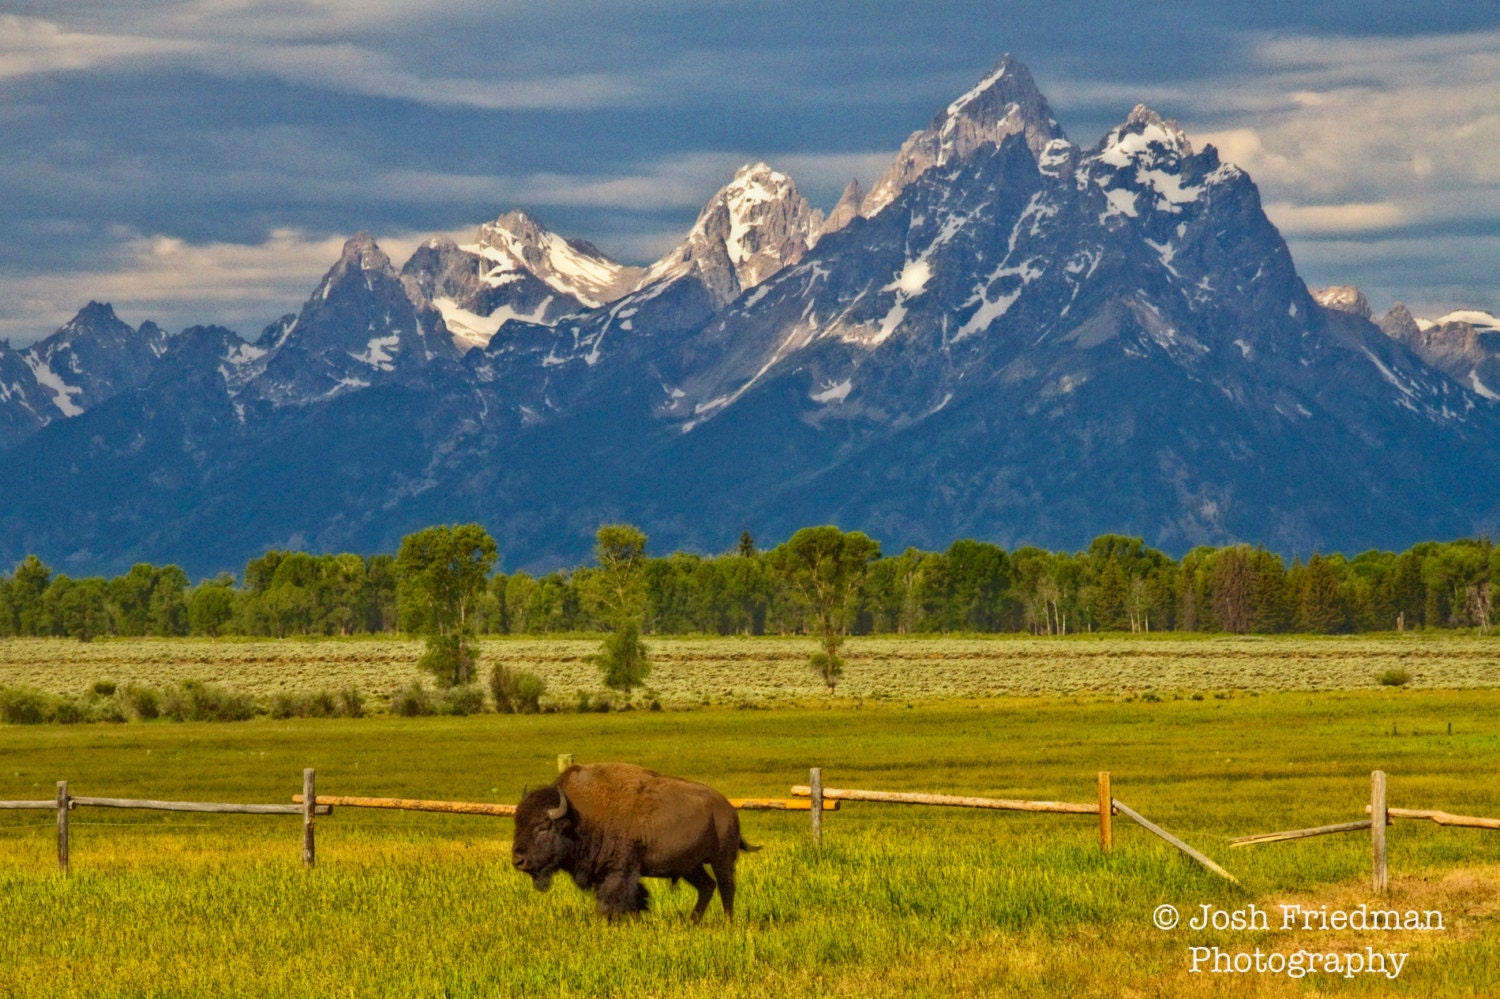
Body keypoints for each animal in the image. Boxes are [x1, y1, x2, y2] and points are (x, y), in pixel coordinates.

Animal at [511, 762, 756, 921]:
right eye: (517, 823)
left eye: (543, 827)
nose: (518, 860)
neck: (578, 816)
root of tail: (727, 807)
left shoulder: (621, 870)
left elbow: (611, 900)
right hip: (690, 866)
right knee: (707, 886)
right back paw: (692, 922)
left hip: (721, 860)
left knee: (726, 888)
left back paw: (727, 922)